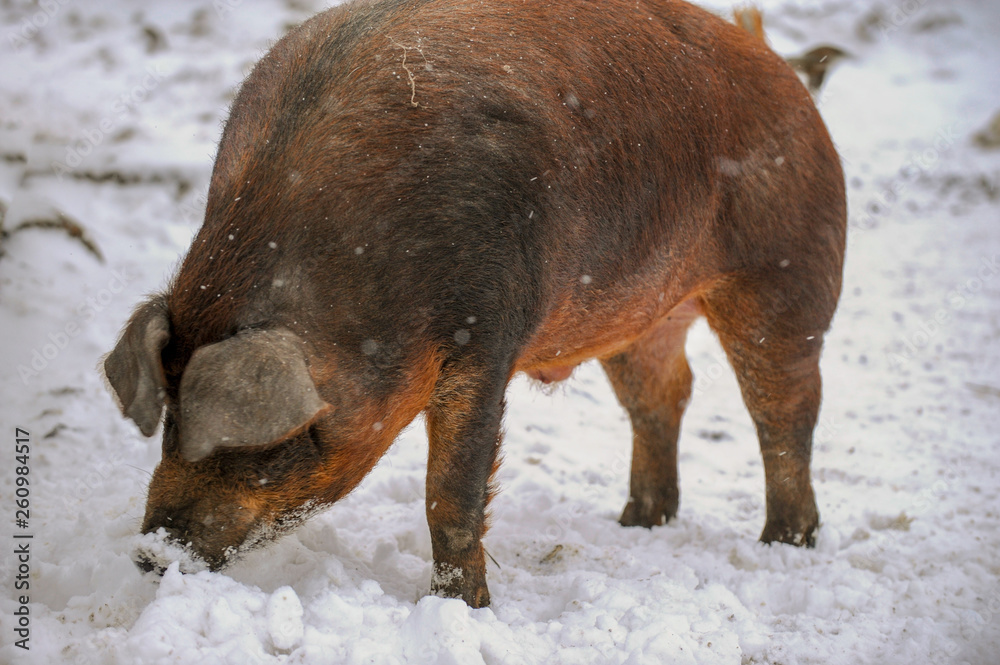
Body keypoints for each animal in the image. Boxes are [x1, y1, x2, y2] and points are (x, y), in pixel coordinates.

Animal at [105, 0, 846, 608]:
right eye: (169, 418)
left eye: (267, 444)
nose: (151, 553)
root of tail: (783, 70)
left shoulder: (486, 333)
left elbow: (451, 490)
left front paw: (461, 609)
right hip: (643, 317)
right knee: (664, 396)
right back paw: (638, 520)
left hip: (790, 273)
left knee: (785, 409)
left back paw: (784, 541)